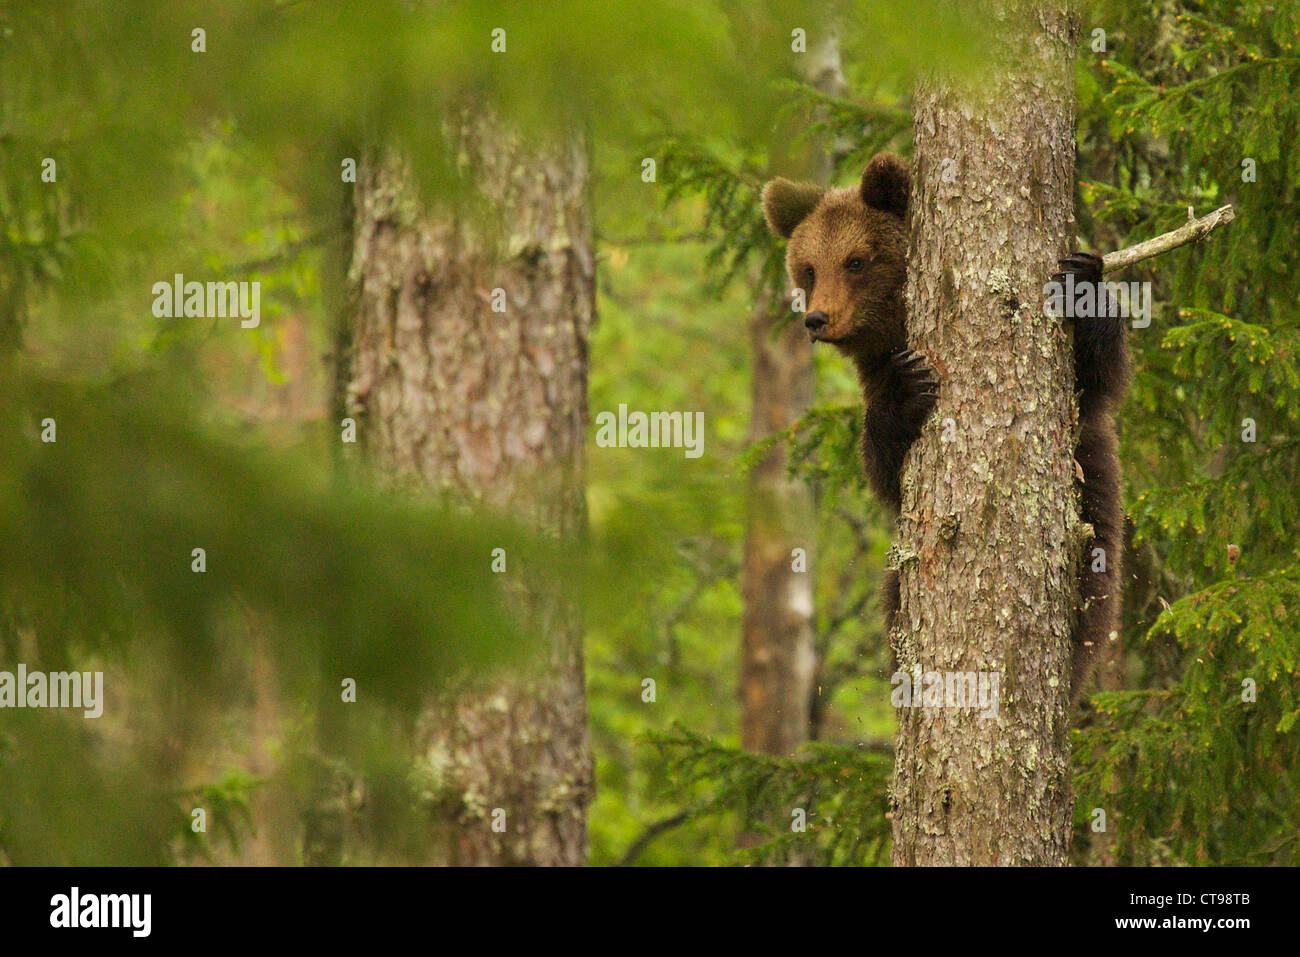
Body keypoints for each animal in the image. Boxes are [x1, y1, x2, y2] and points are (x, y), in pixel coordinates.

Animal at [761, 153, 1129, 705]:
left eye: (855, 261)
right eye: (808, 267)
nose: (818, 318)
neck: (895, 330)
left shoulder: (1086, 401)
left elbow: (1103, 372)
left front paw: (1081, 282)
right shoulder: (875, 372)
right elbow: (885, 467)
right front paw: (910, 386)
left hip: (1095, 510)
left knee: (1090, 598)